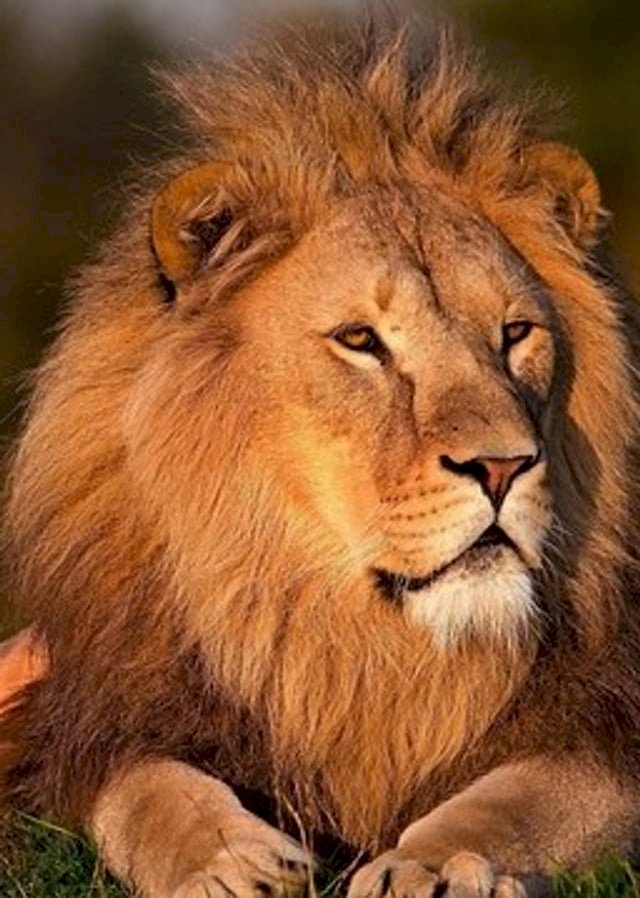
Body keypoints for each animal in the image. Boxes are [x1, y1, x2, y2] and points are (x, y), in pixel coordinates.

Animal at [1, 14, 640, 898]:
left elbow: (525, 799)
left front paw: (433, 866)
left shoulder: (603, 721)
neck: (345, 638)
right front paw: (229, 863)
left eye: (515, 333)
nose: (504, 467)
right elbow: (144, 789)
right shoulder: (107, 718)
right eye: (361, 341)